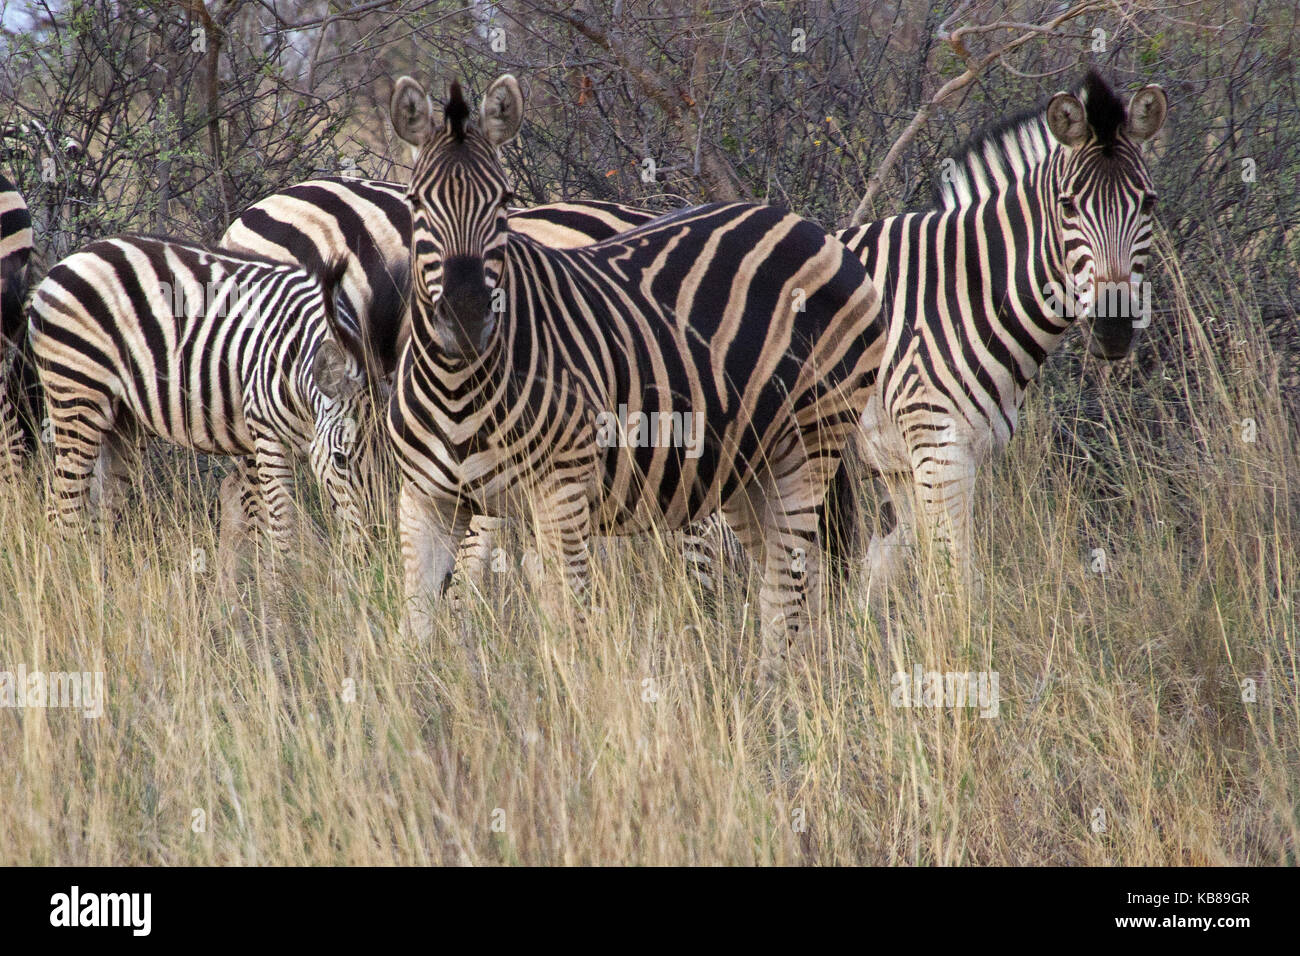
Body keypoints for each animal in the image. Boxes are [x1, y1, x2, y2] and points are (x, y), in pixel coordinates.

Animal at [26, 236, 376, 556]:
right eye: (341, 458)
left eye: (385, 457)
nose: (373, 551)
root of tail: (66, 263)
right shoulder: (268, 438)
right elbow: (283, 529)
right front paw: (284, 585)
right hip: (76, 392)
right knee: (62, 511)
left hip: (123, 421)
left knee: (100, 512)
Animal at [385, 74, 884, 676]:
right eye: (415, 203)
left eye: (503, 202)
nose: (465, 315)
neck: (459, 386)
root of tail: (807, 227)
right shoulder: (424, 502)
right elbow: (414, 630)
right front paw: (422, 694)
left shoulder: (560, 493)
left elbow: (567, 629)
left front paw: (573, 697)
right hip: (749, 467)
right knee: (794, 576)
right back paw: (797, 682)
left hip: (811, 438)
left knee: (786, 582)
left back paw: (779, 686)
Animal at [831, 70, 1168, 592]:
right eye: (1068, 206)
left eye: (1148, 203)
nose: (1112, 329)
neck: (962, 294)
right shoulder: (939, 452)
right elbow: (959, 584)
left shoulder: (905, 465)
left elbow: (885, 577)